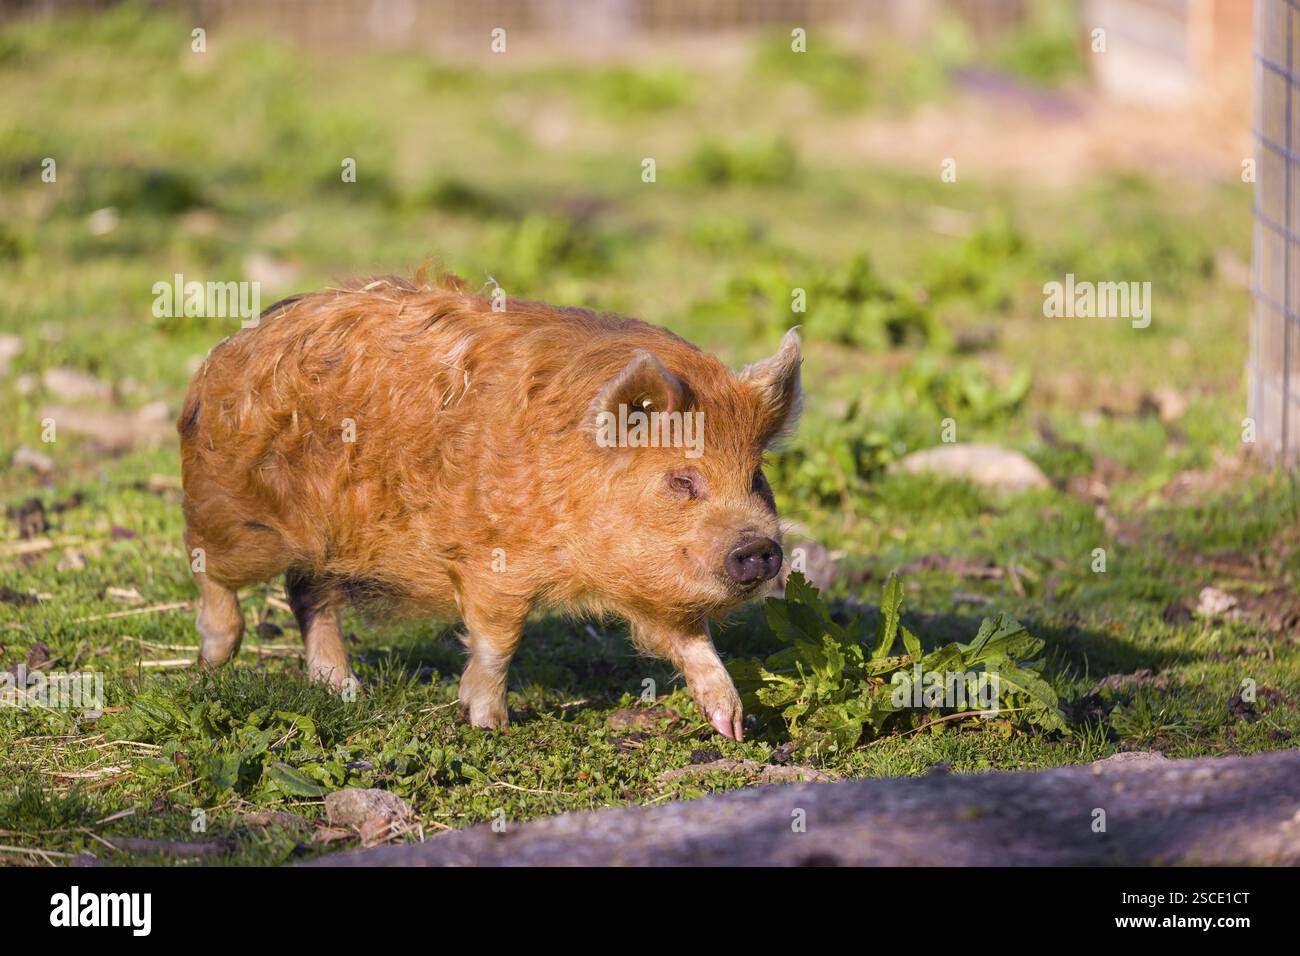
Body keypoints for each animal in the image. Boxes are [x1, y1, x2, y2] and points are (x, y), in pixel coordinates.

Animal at [177, 272, 801, 740]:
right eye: (682, 481)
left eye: (756, 478)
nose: (760, 547)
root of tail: (226, 351)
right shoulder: (490, 563)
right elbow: (498, 641)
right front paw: (490, 725)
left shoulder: (649, 583)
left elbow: (693, 642)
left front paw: (732, 727)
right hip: (236, 513)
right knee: (210, 566)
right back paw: (210, 663)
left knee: (307, 594)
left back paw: (344, 691)